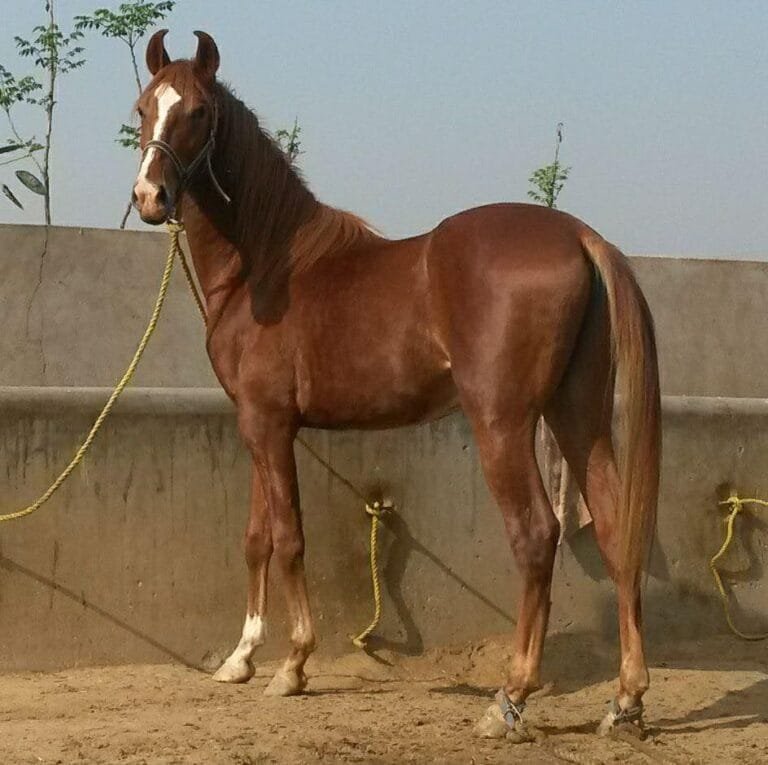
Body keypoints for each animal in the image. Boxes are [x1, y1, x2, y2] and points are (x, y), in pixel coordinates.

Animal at [131, 29, 660, 739]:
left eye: (196, 112)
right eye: (143, 108)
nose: (150, 198)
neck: (267, 268)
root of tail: (579, 234)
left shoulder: (268, 425)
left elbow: (290, 538)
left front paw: (292, 666)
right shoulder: (260, 427)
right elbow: (256, 537)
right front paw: (241, 659)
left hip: (502, 424)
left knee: (535, 536)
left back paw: (509, 697)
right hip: (579, 420)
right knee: (612, 530)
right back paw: (626, 700)